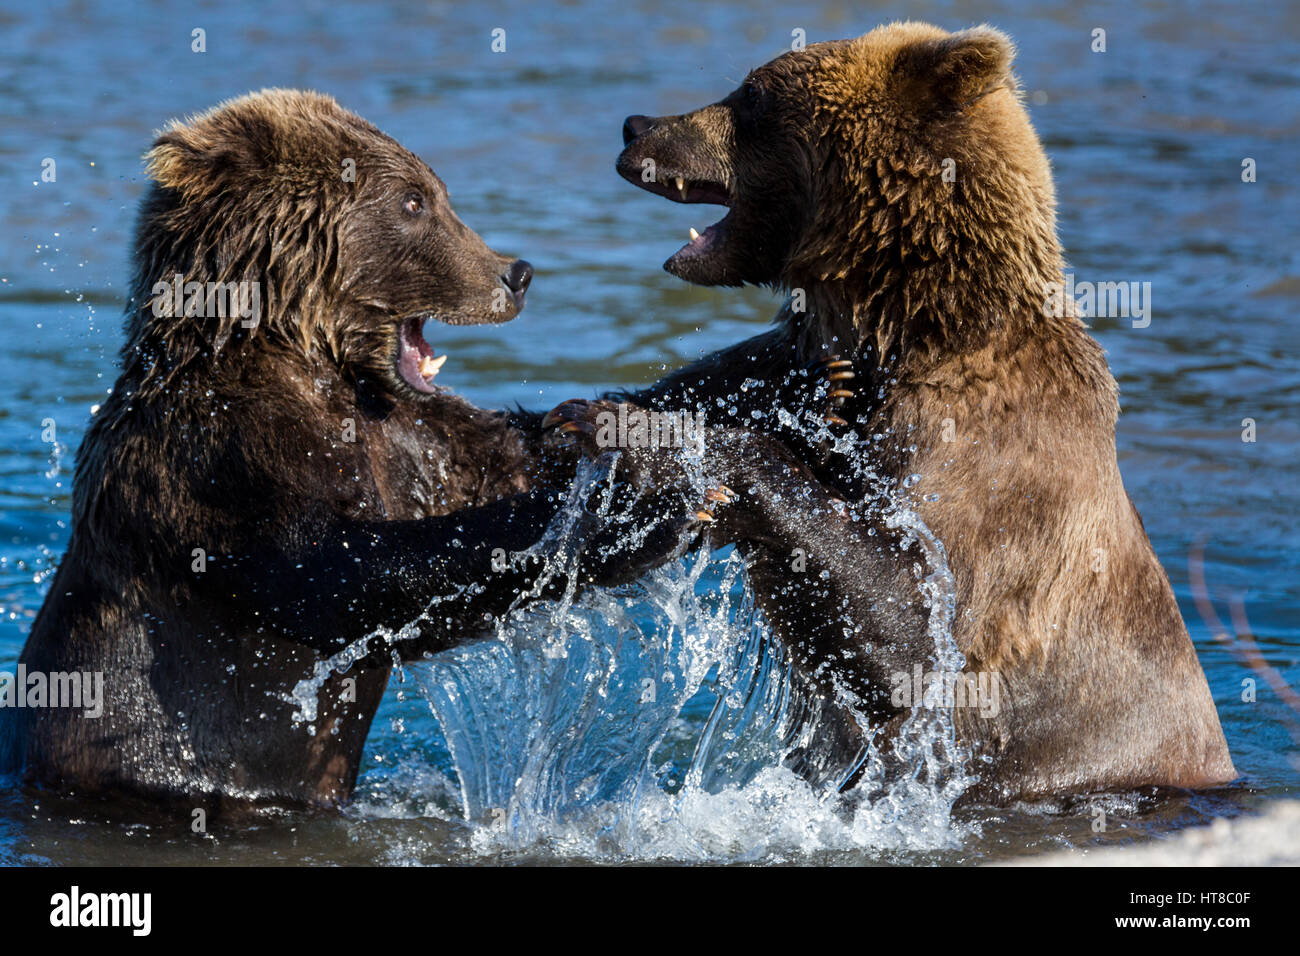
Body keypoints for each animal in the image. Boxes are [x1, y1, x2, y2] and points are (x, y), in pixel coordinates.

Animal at [0, 89, 745, 812]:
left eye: (435, 192)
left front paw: (644, 442)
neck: (295, 349)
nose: (516, 273)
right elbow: (337, 572)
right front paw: (641, 513)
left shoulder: (408, 436)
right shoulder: (217, 462)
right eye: (413, 202)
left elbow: (505, 458)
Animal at [602, 22, 1237, 804]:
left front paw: (694, 451)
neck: (903, 323)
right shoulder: (786, 370)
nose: (636, 125)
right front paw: (594, 425)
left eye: (750, 96)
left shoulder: (988, 471)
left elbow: (913, 624)